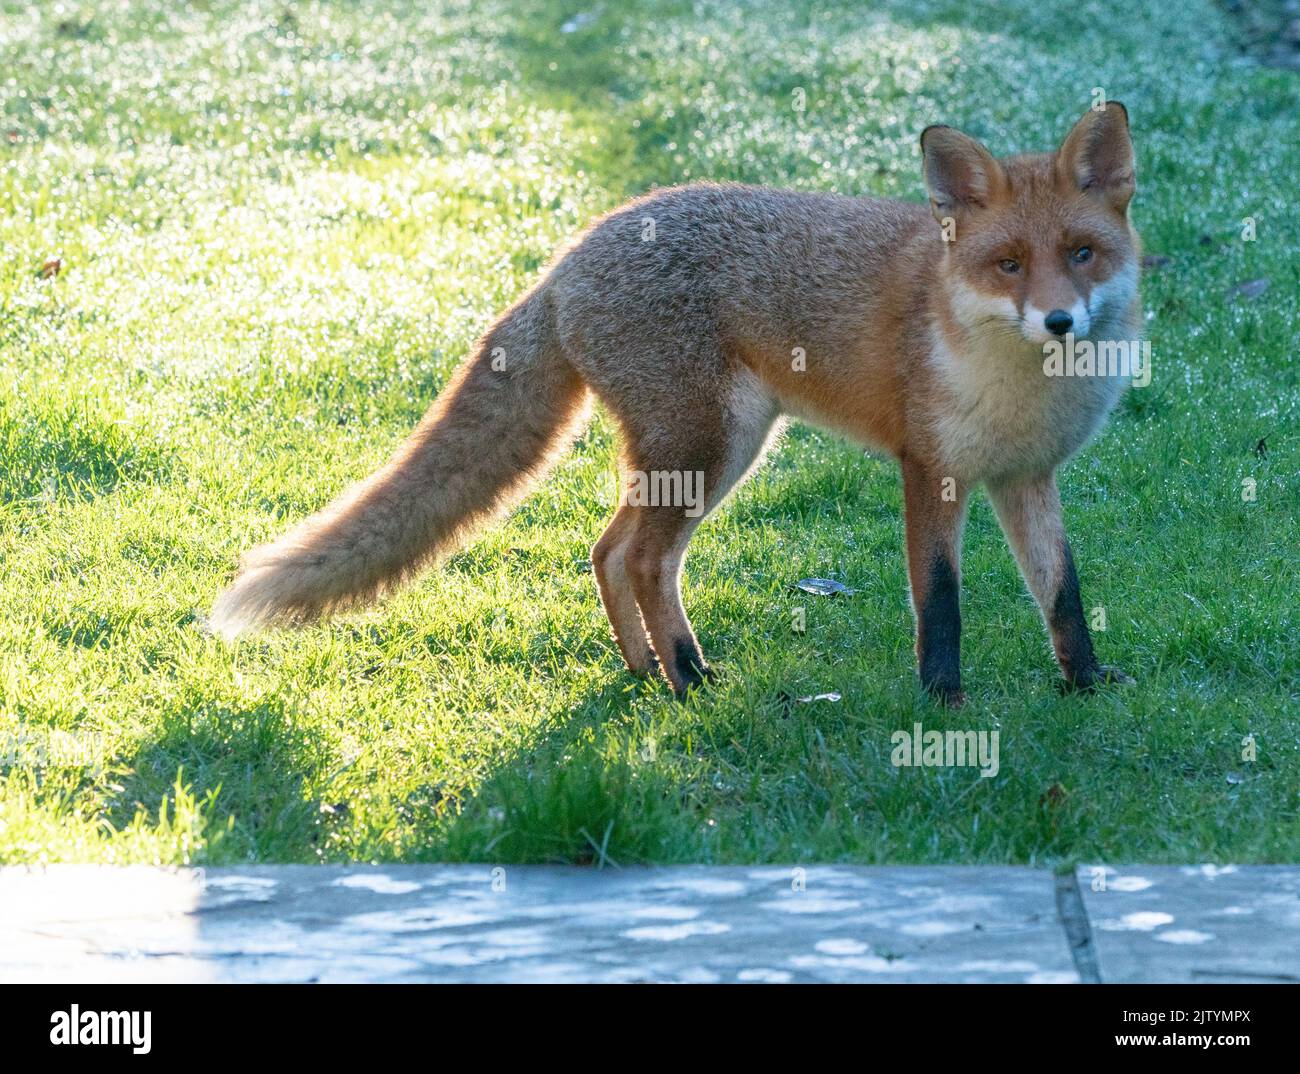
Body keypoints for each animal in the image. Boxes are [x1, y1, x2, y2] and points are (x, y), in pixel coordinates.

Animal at [212, 103, 1142, 706]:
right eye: (1007, 265)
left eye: (1082, 254)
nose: (1060, 322)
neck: (1020, 386)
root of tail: (567, 258)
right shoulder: (930, 470)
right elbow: (941, 604)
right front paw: (943, 703)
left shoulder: (1025, 477)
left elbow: (1063, 591)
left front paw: (1087, 687)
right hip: (709, 446)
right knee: (641, 559)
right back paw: (688, 678)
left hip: (696, 454)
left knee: (605, 549)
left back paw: (645, 669)